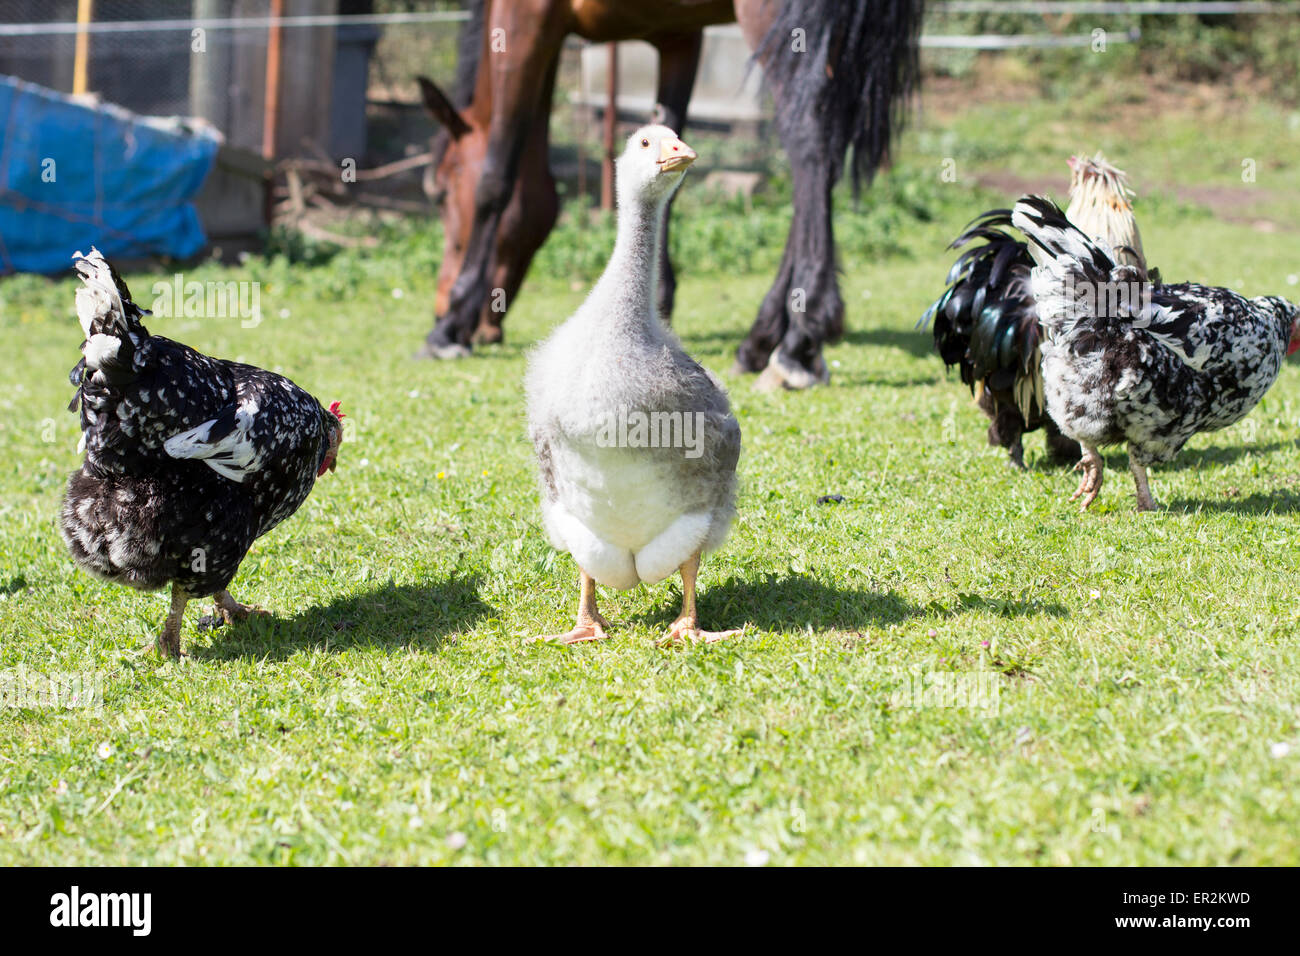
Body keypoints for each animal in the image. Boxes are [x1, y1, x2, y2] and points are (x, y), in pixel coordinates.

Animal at [417, 0, 922, 389]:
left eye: (438, 193)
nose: (439, 301)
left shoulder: (526, 14)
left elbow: (495, 174)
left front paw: (450, 325)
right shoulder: (679, 33)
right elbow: (667, 142)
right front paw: (659, 300)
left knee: (811, 140)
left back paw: (798, 341)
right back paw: (762, 338)